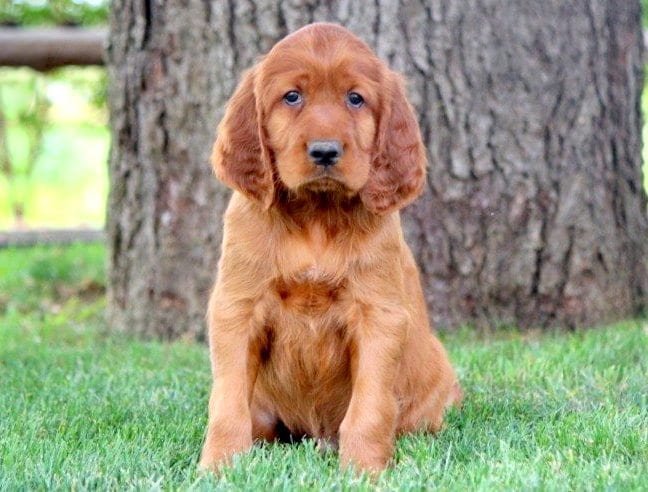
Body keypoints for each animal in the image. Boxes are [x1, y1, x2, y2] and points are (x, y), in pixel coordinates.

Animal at [201, 22, 460, 472]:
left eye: (355, 98)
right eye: (292, 96)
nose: (325, 151)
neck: (316, 217)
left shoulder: (378, 316)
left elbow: (370, 406)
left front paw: (364, 470)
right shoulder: (236, 308)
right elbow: (227, 401)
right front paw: (218, 466)